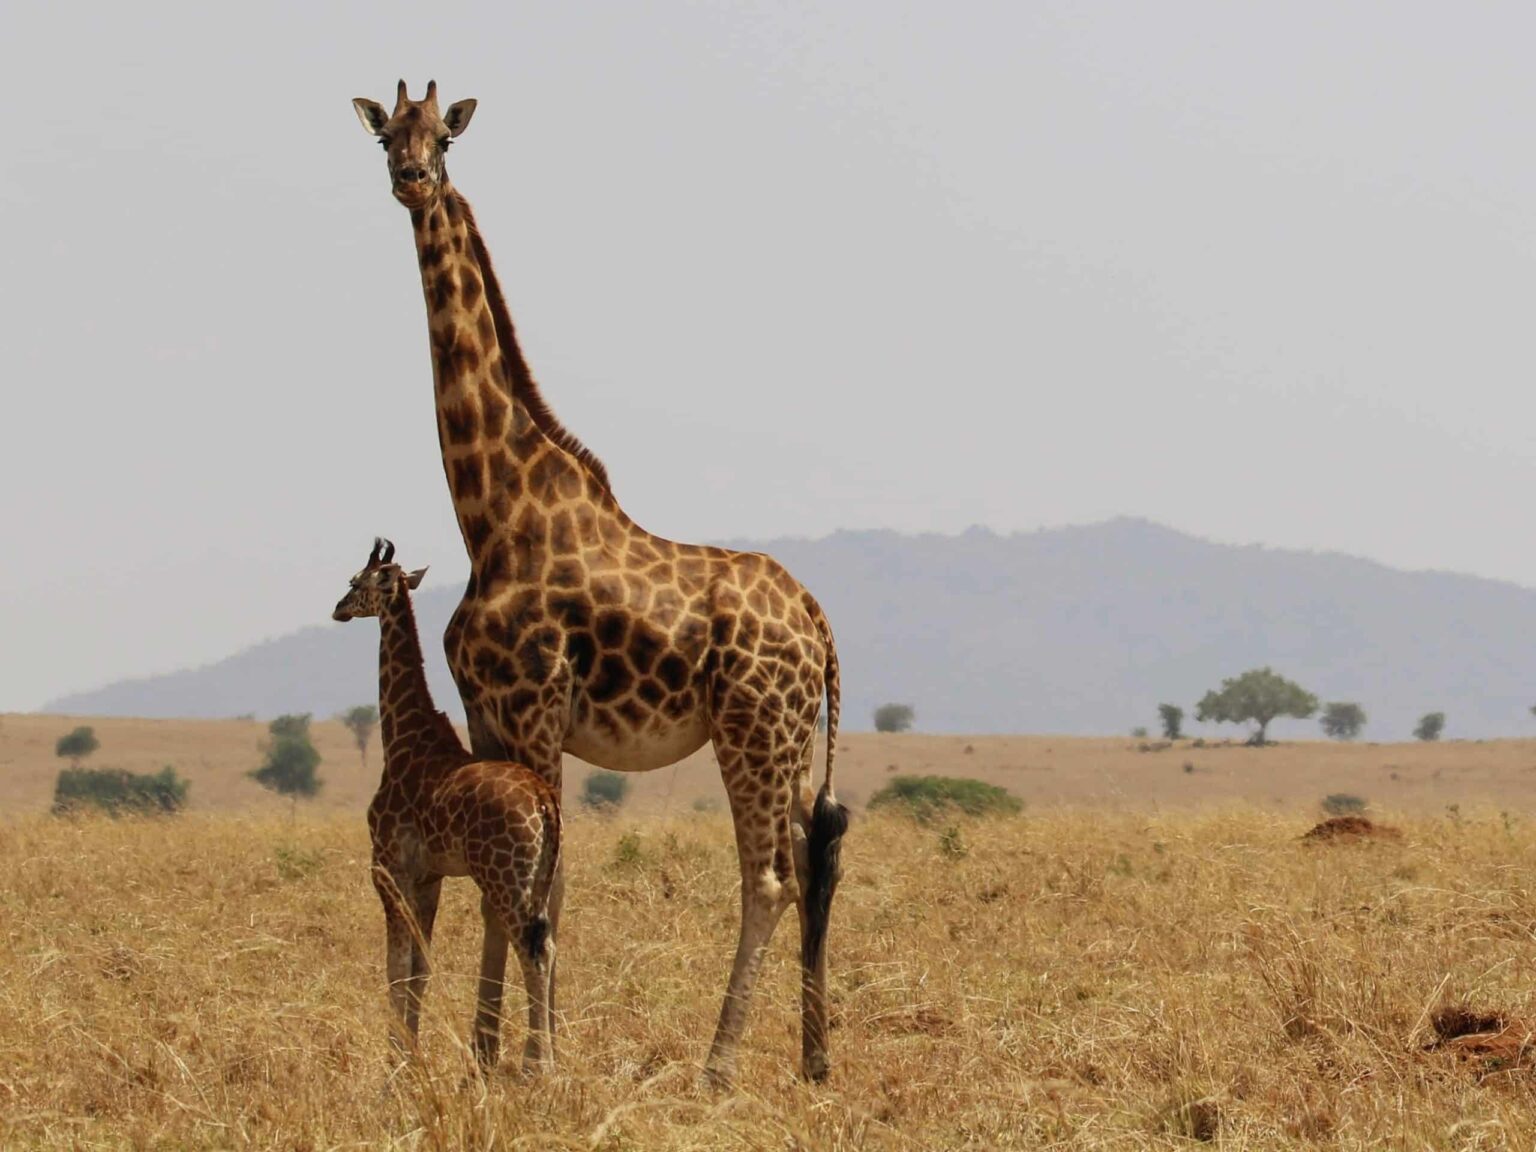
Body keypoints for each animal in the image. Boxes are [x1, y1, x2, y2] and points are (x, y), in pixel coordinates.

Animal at [332, 536, 561, 1074]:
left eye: (356, 581)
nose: (337, 609)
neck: (401, 735)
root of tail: (545, 803)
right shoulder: (428, 875)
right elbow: (420, 966)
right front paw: (410, 1053)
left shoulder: (387, 865)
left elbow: (396, 965)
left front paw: (394, 1062)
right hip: (538, 877)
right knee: (547, 942)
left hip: (504, 877)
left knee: (532, 948)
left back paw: (538, 1065)